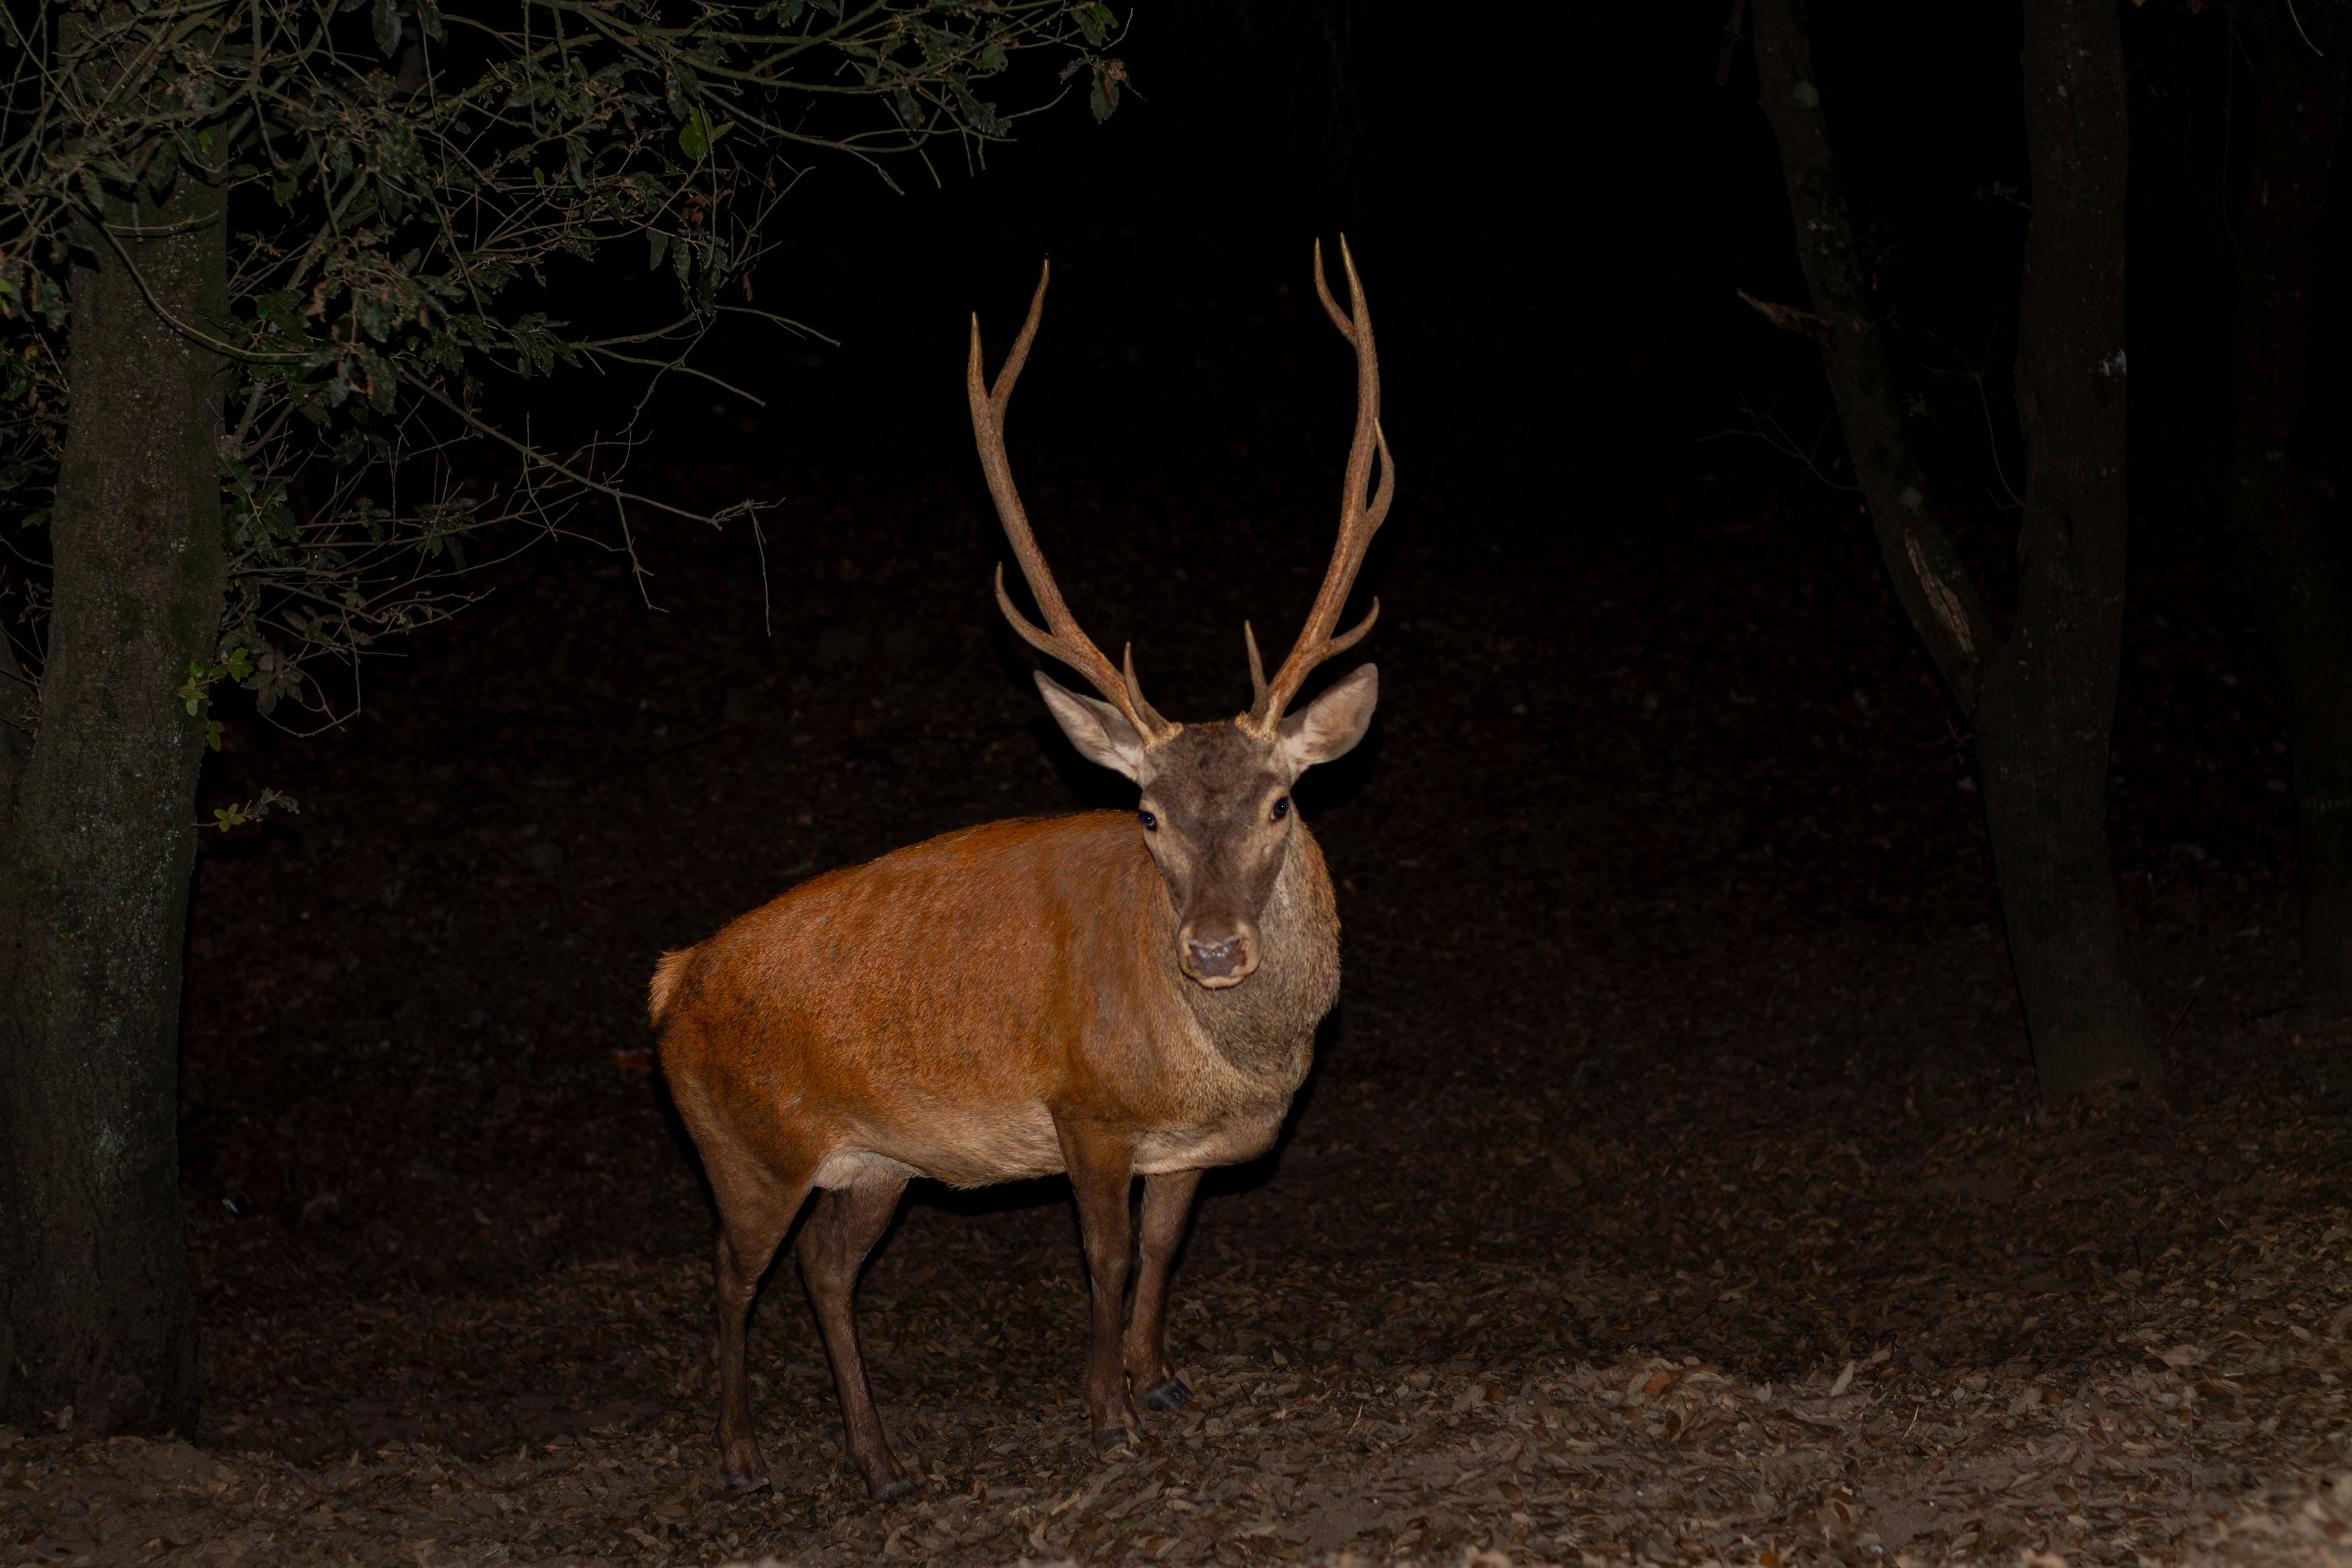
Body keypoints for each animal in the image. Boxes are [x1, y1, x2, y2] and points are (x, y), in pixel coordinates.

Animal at [648, 238, 1393, 1502]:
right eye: (1145, 812)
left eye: (1281, 800)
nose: (1211, 946)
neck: (1223, 1065)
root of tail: (669, 975)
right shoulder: (1081, 1106)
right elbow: (1101, 1254)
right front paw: (1106, 1412)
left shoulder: (1183, 1147)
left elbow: (1161, 1248)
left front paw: (1159, 1378)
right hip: (742, 1143)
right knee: (730, 1267)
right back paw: (744, 1450)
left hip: (874, 1161)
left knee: (826, 1268)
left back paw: (881, 1460)